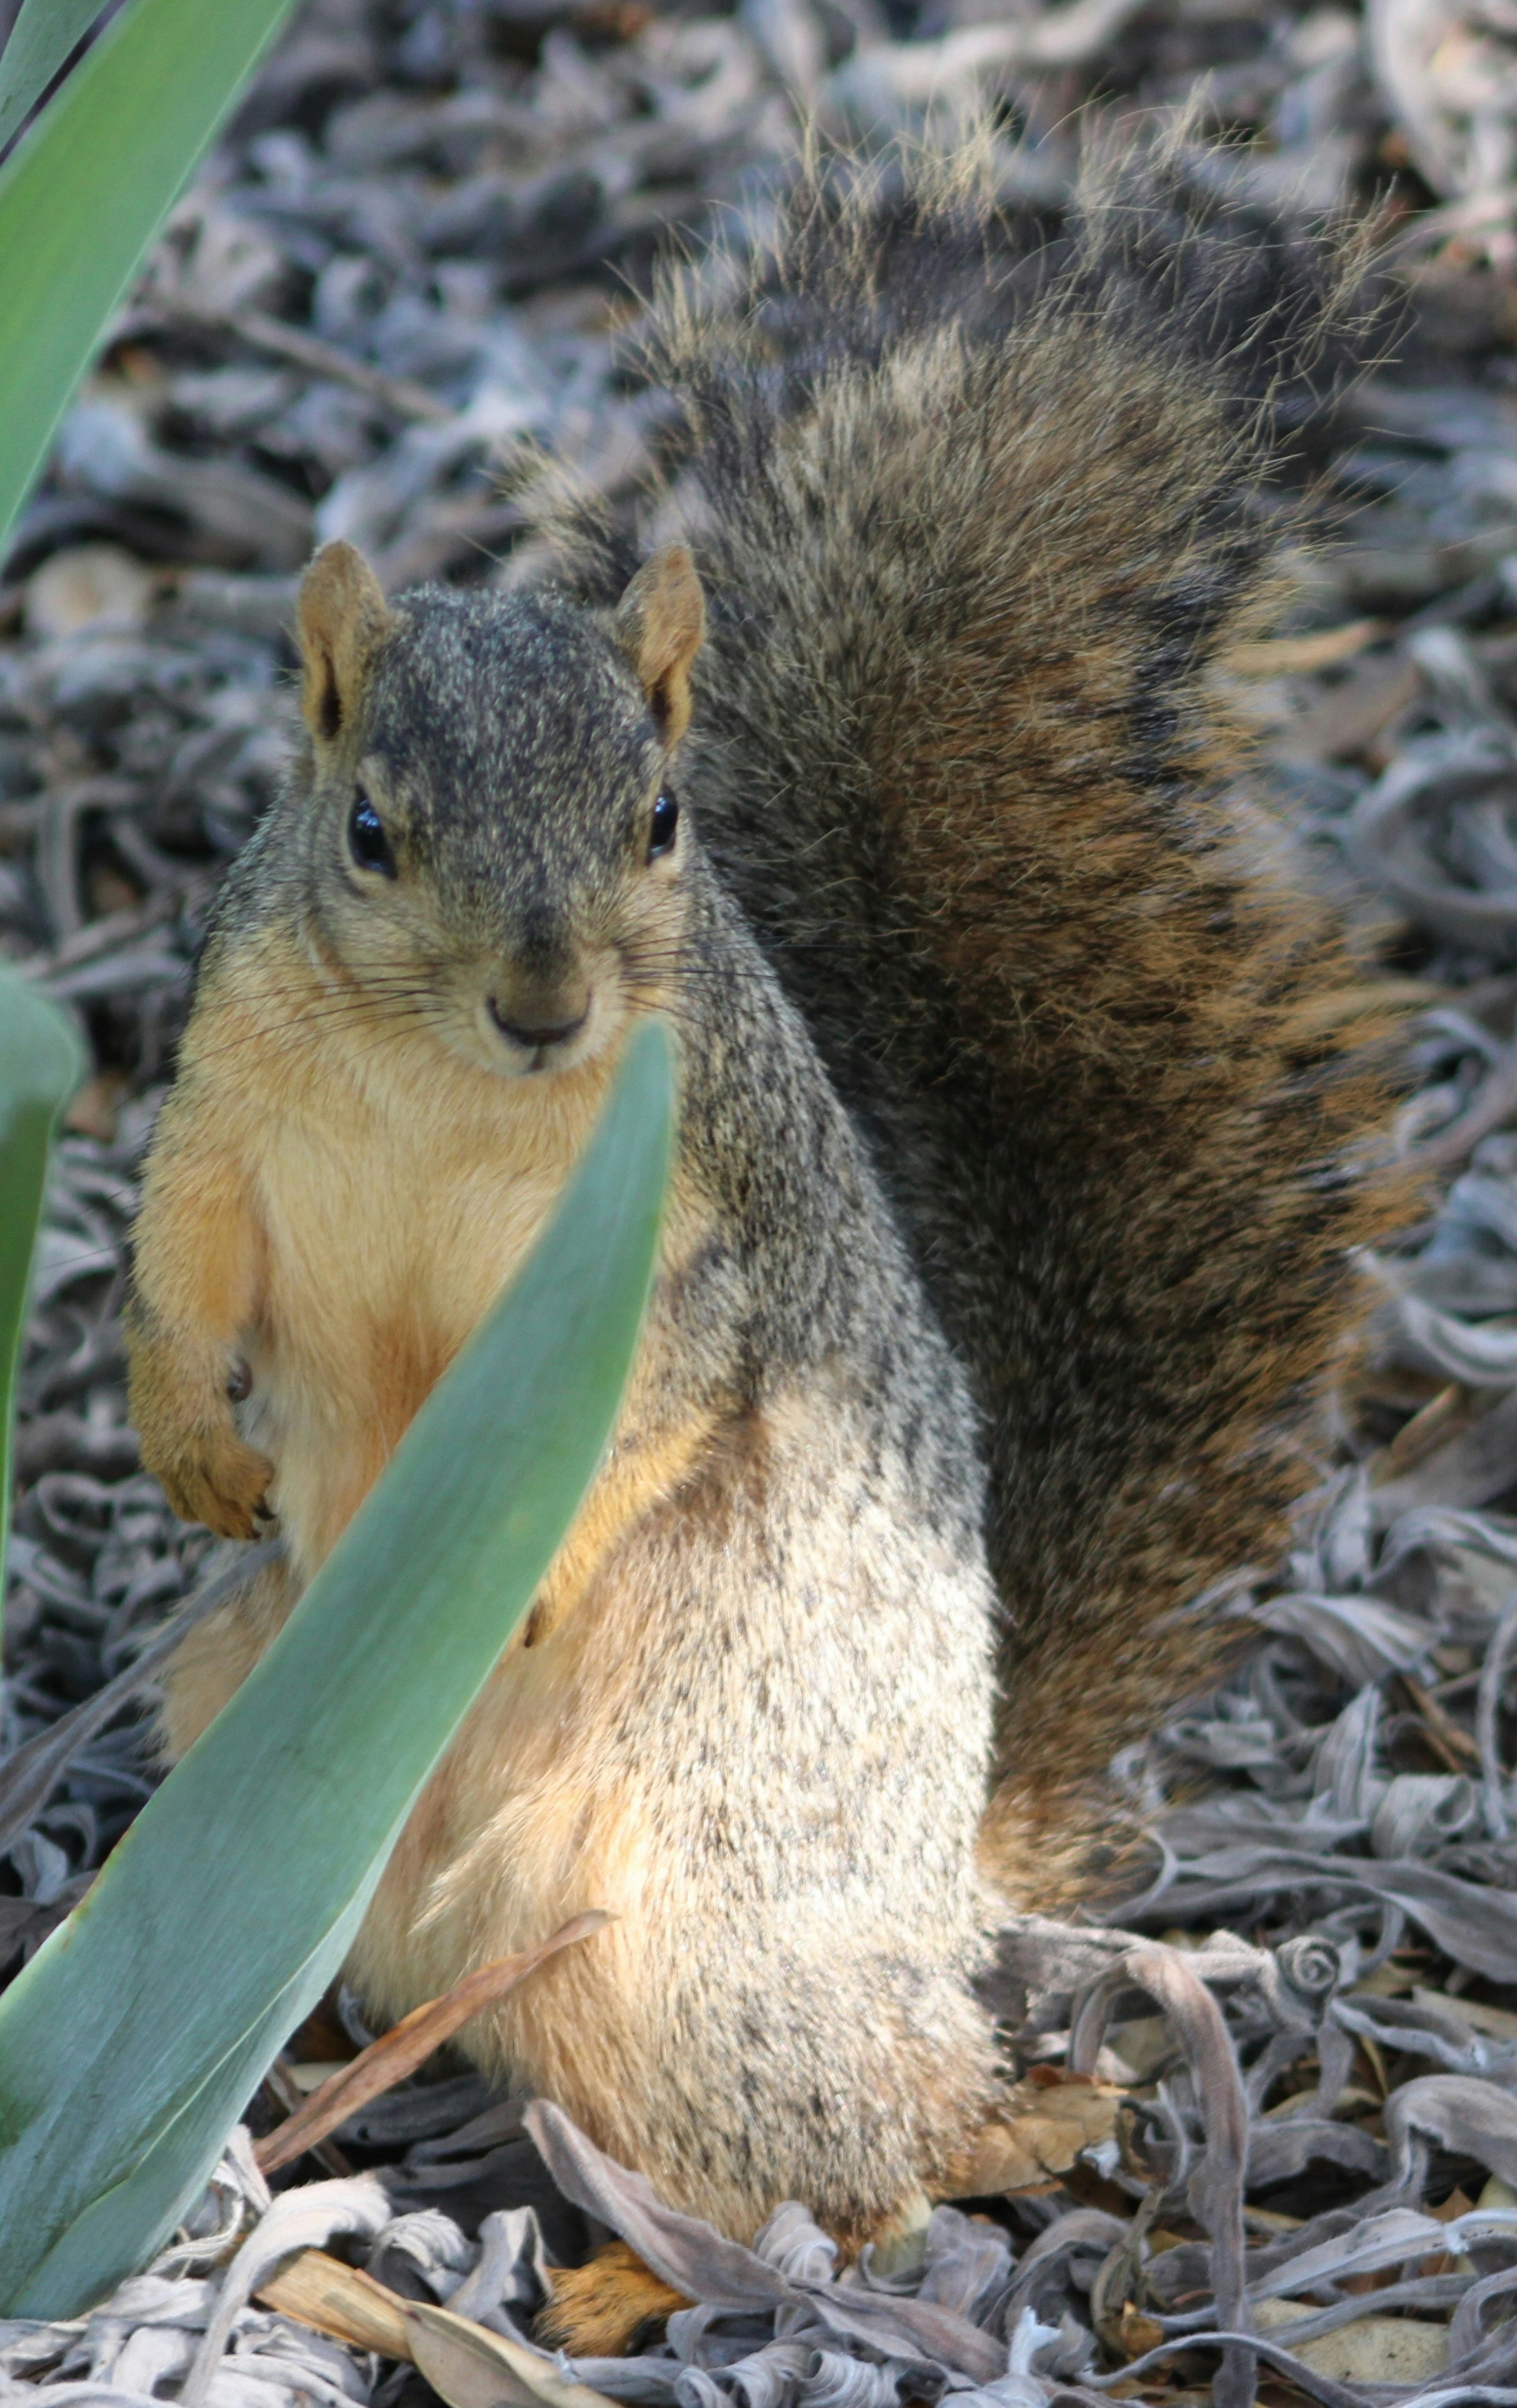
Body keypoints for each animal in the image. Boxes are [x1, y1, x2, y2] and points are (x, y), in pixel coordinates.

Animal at [126, 133, 1410, 2348]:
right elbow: (182, 1256)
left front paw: (539, 1561)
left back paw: (661, 2273)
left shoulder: (692, 1237)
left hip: (692, 1910)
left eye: (659, 821)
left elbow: (656, 1393)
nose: (546, 1004)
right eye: (367, 830)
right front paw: (185, 1432)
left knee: (863, 2146)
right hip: (252, 1708)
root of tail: (935, 1890)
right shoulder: (226, 1102)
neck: (435, 1080)